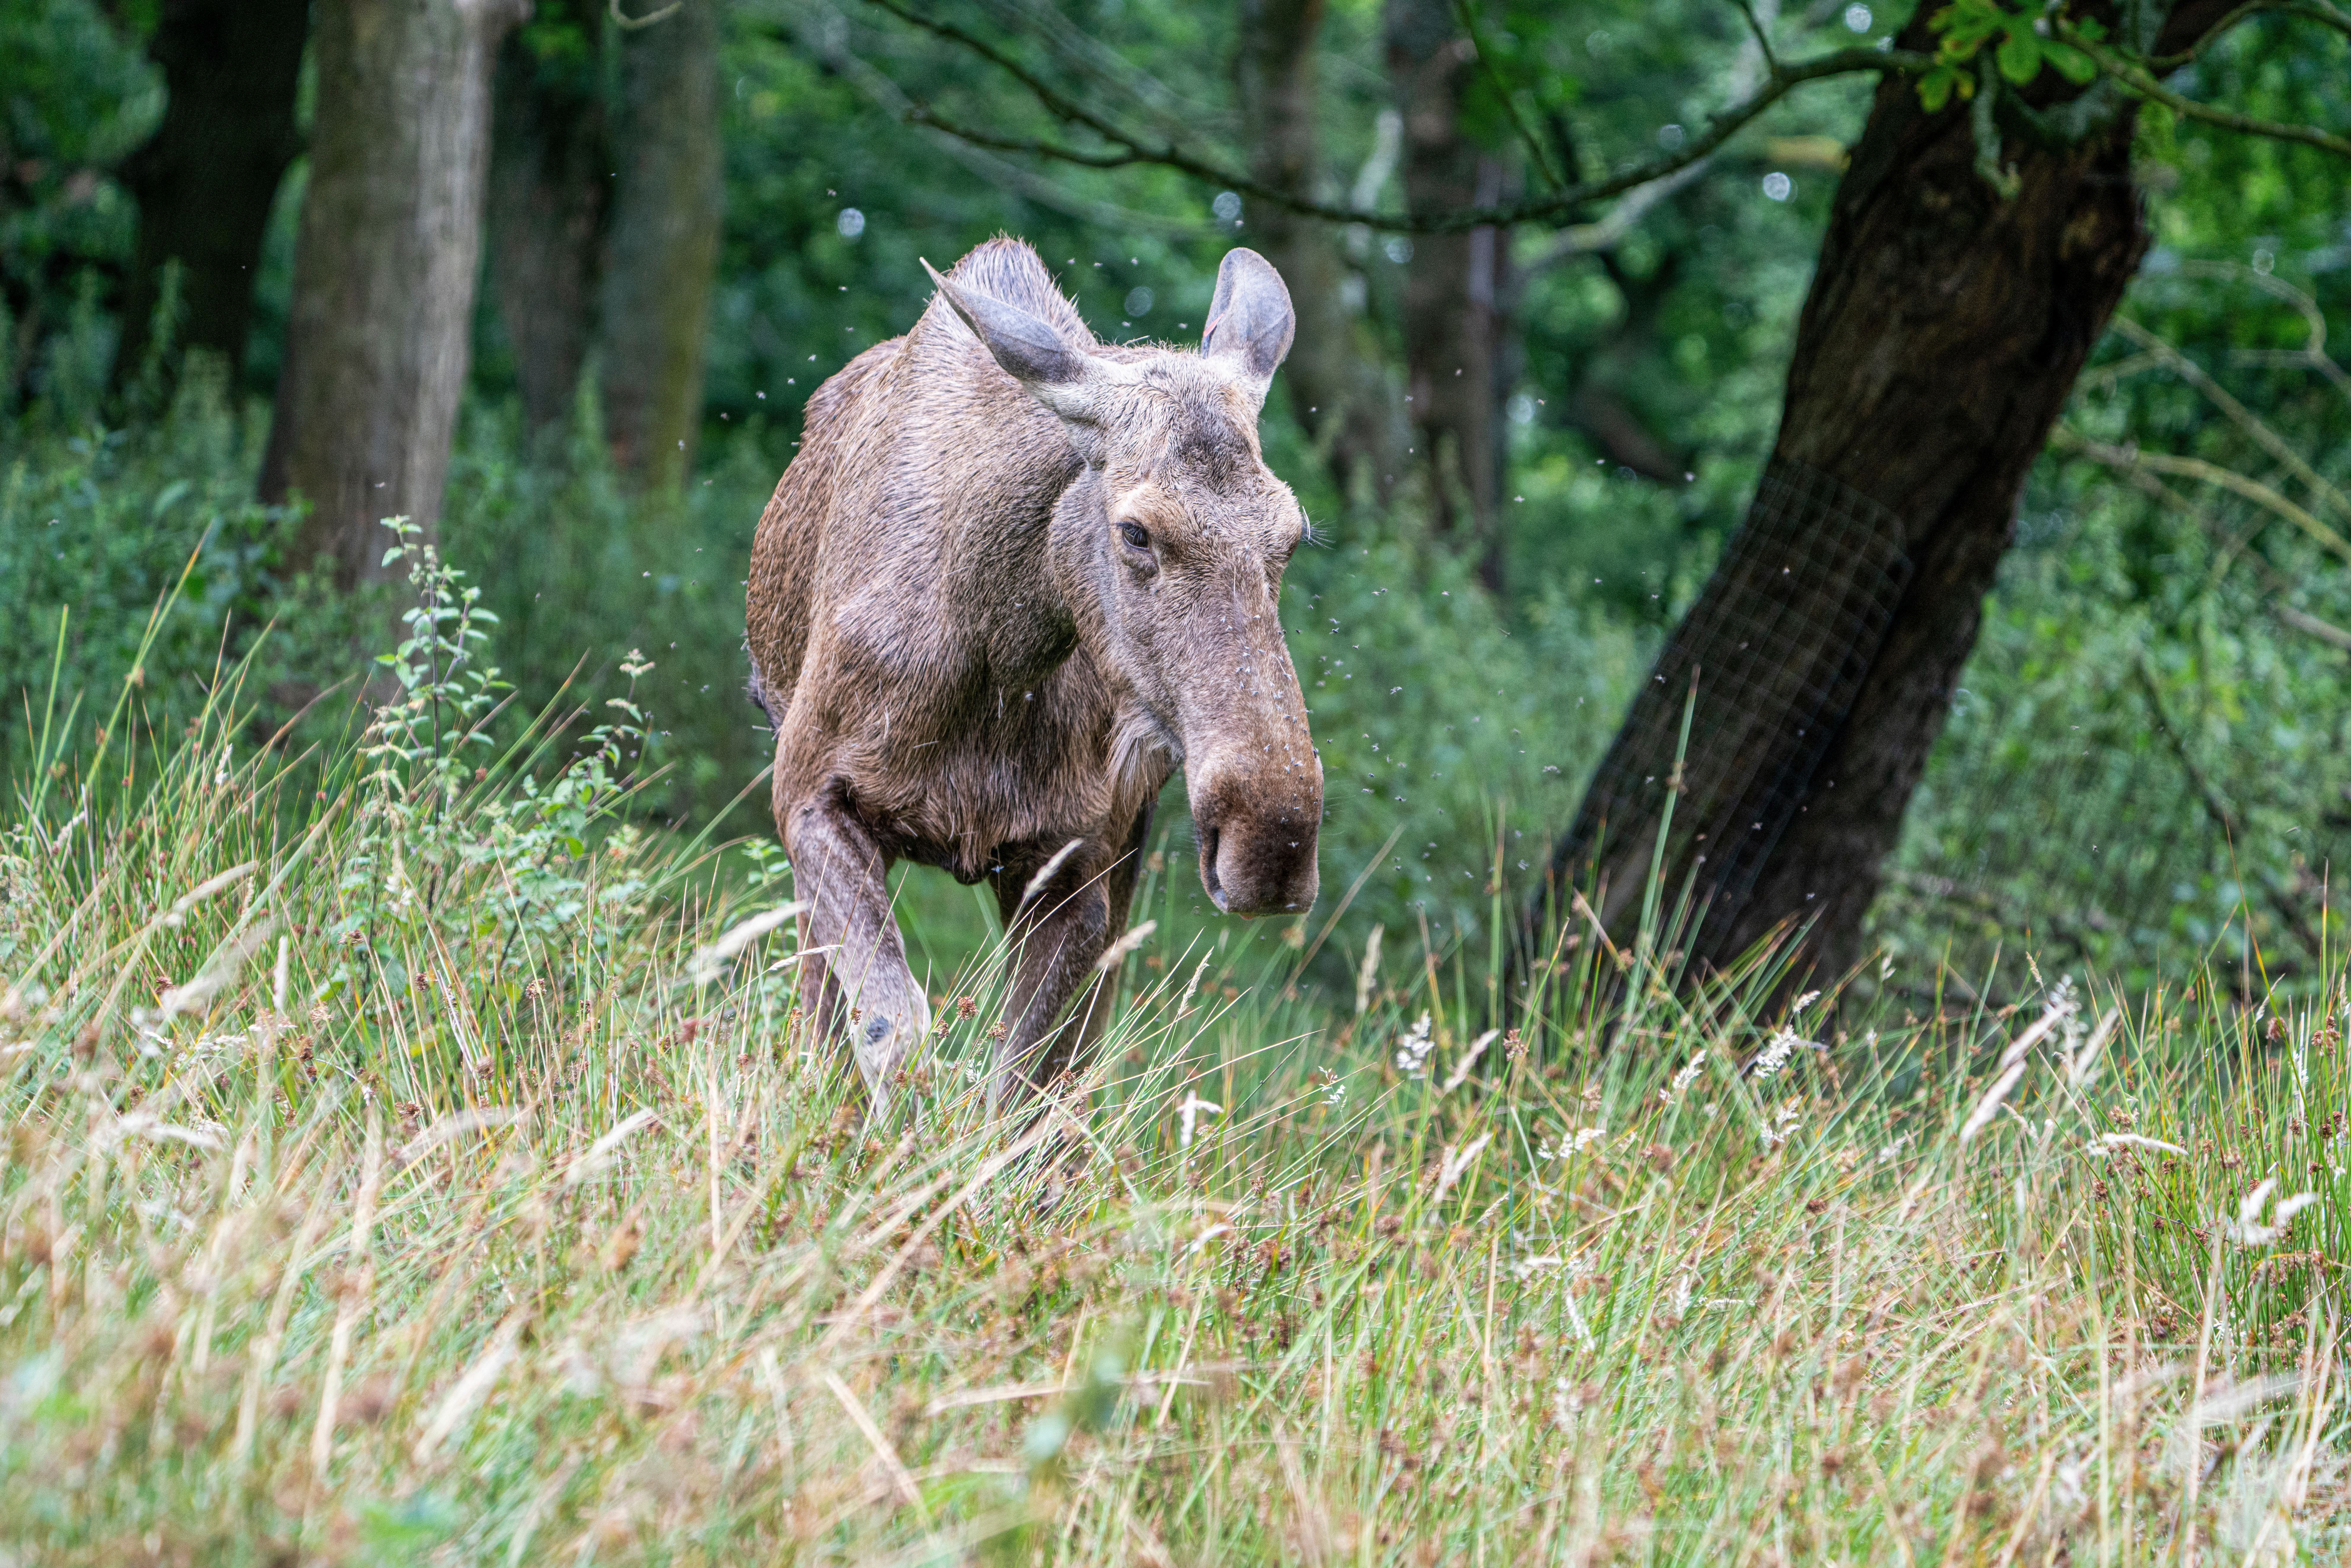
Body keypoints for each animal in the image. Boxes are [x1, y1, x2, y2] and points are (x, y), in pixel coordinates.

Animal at [744, 236, 1323, 1111]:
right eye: (1136, 531)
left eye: (1292, 532)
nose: (1273, 841)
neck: (996, 653)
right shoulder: (808, 790)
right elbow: (891, 1028)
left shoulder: (1074, 861)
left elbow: (1024, 1086)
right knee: (819, 1000)